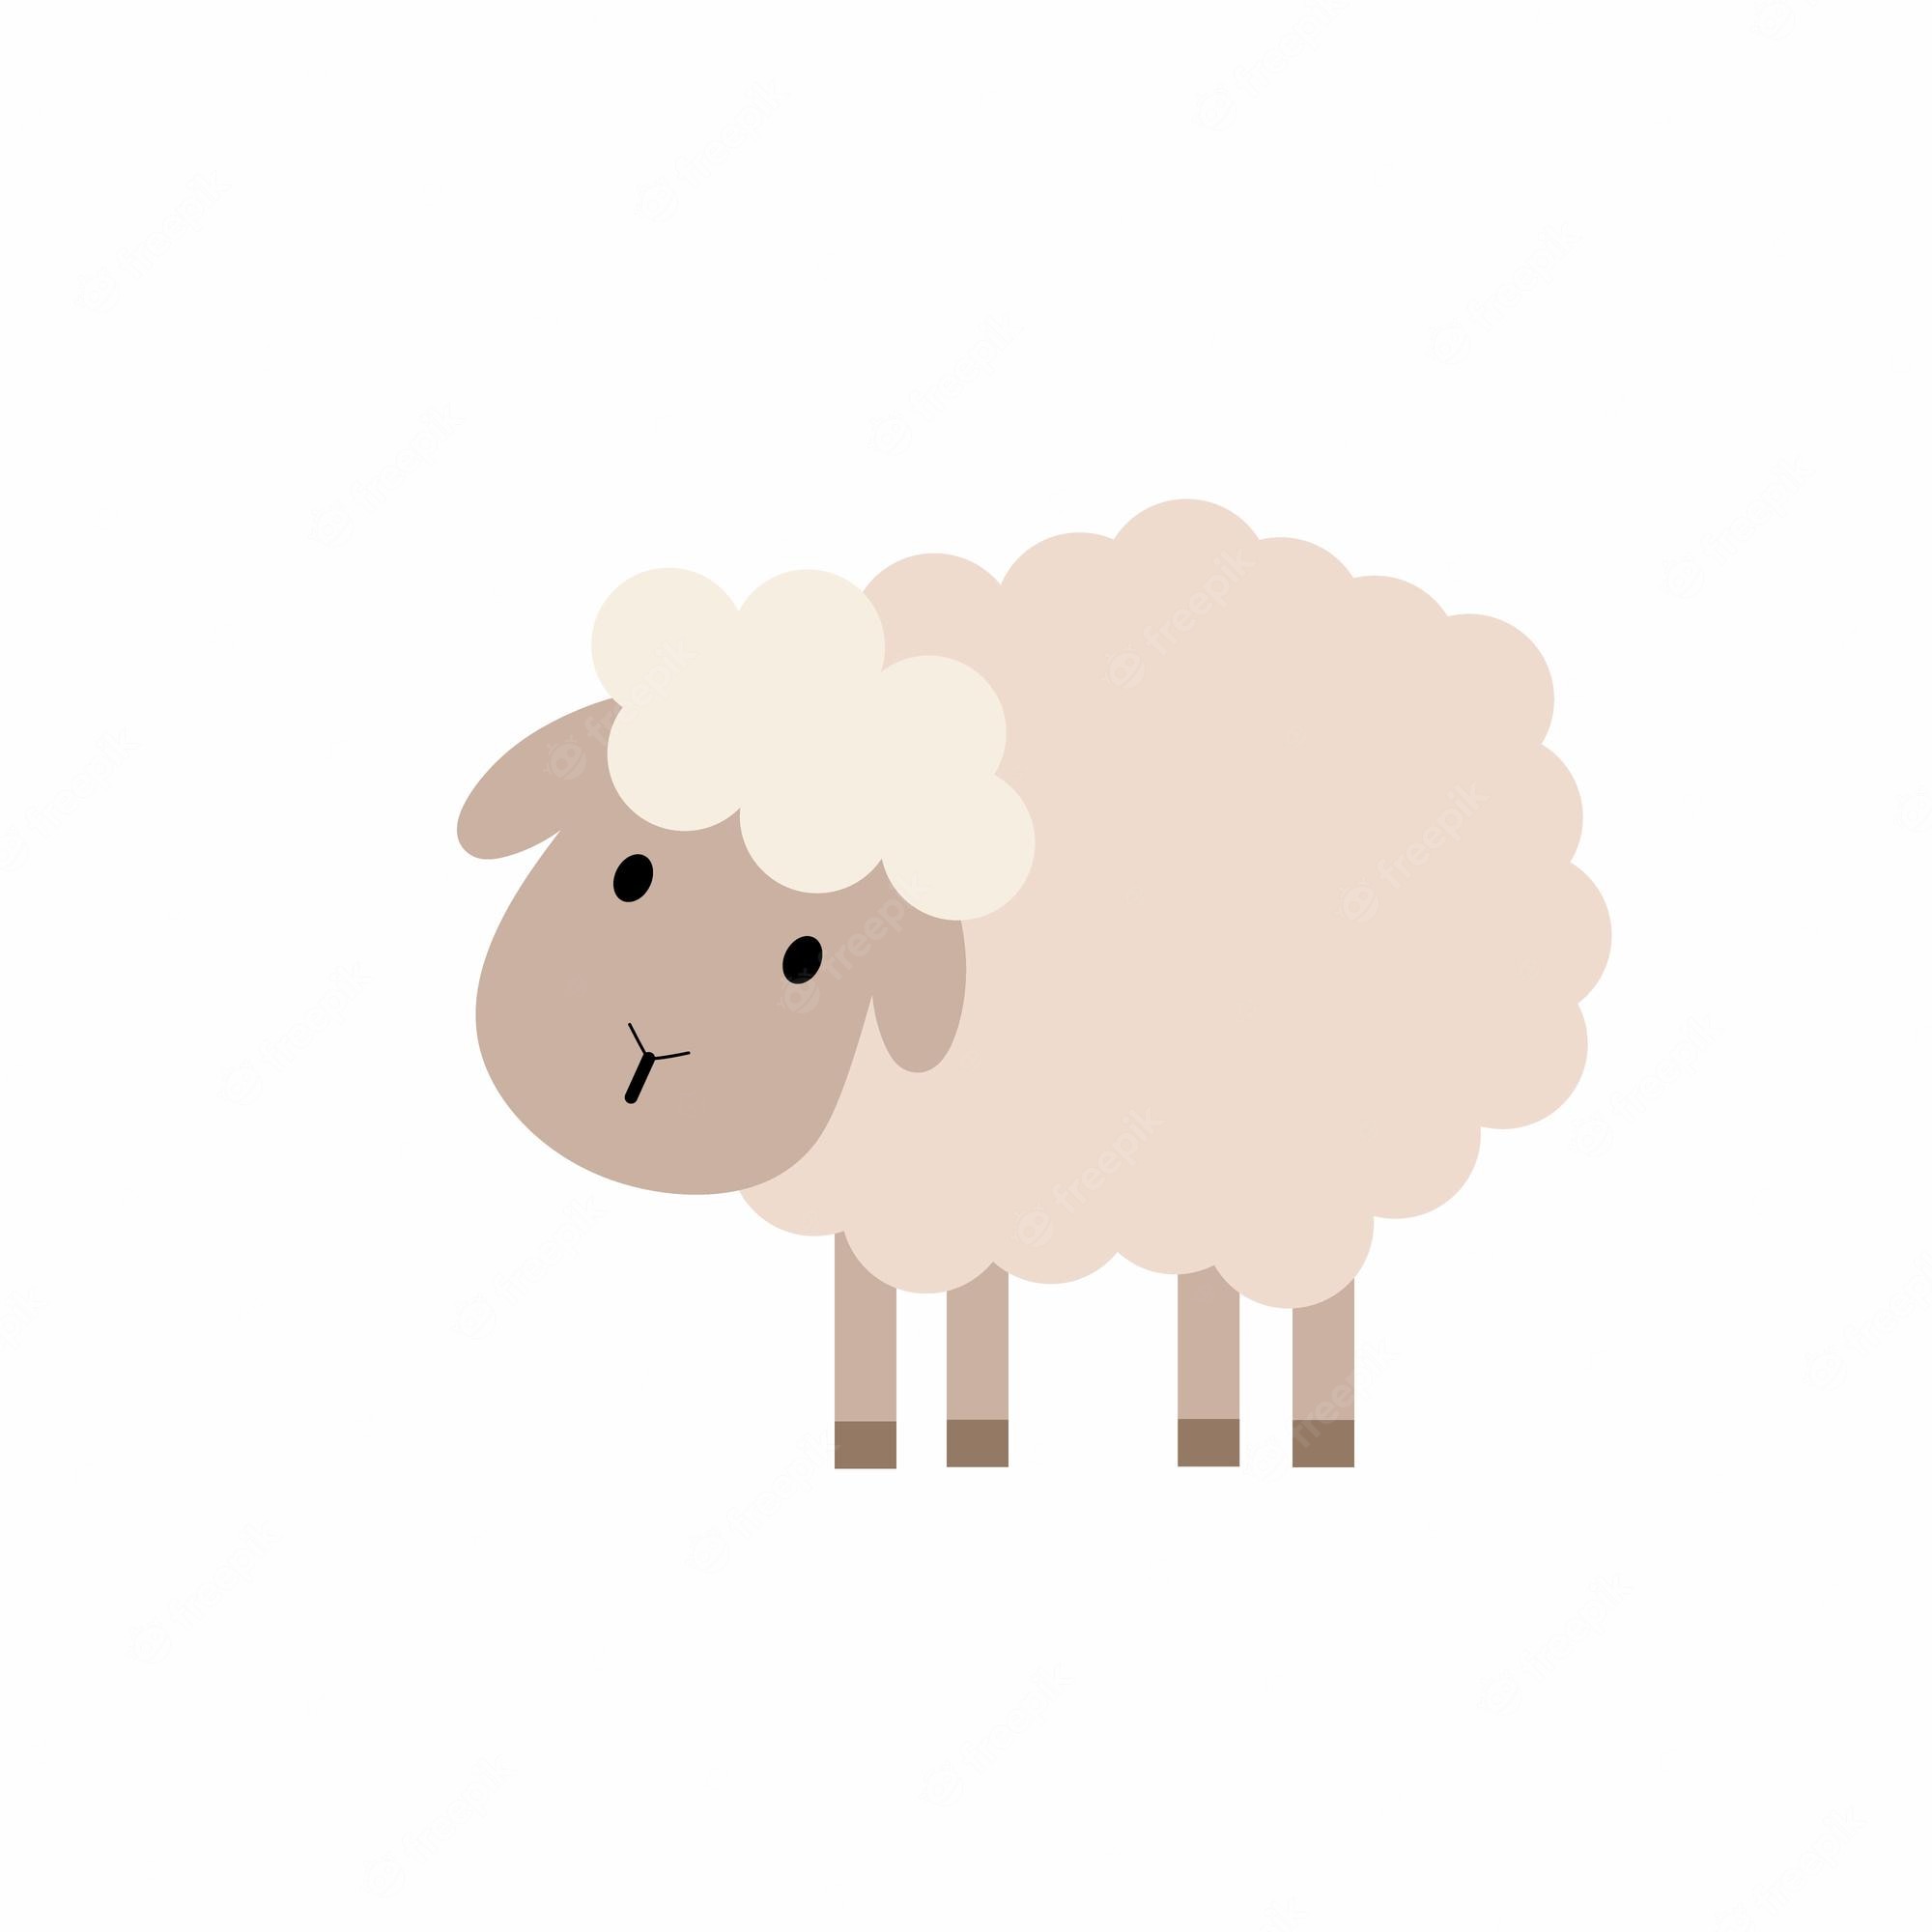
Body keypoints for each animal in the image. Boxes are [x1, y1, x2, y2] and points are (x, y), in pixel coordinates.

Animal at [459, 500, 1610, 1469]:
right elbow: (875, 1306)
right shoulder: (896, 1195)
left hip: (1312, 1153)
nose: (647, 1053)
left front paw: (963, 1444)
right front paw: (880, 1442)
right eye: (629, 872)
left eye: (807, 956)